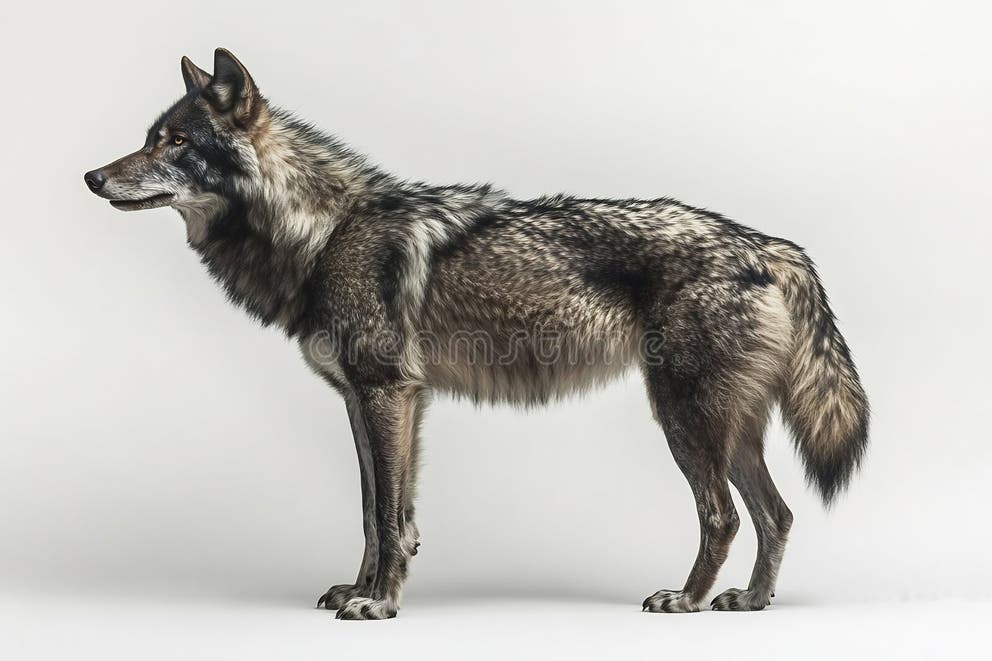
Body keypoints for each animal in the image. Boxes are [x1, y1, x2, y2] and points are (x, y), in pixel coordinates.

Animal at [84, 48, 869, 619]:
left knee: (724, 516)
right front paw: (358, 589)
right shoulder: (372, 401)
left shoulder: (388, 393)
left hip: (685, 419)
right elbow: (377, 513)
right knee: (779, 513)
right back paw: (752, 601)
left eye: (175, 142)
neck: (323, 232)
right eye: (148, 139)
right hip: (729, 430)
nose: (92, 177)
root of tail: (766, 245)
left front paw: (379, 604)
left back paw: (687, 599)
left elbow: (388, 517)